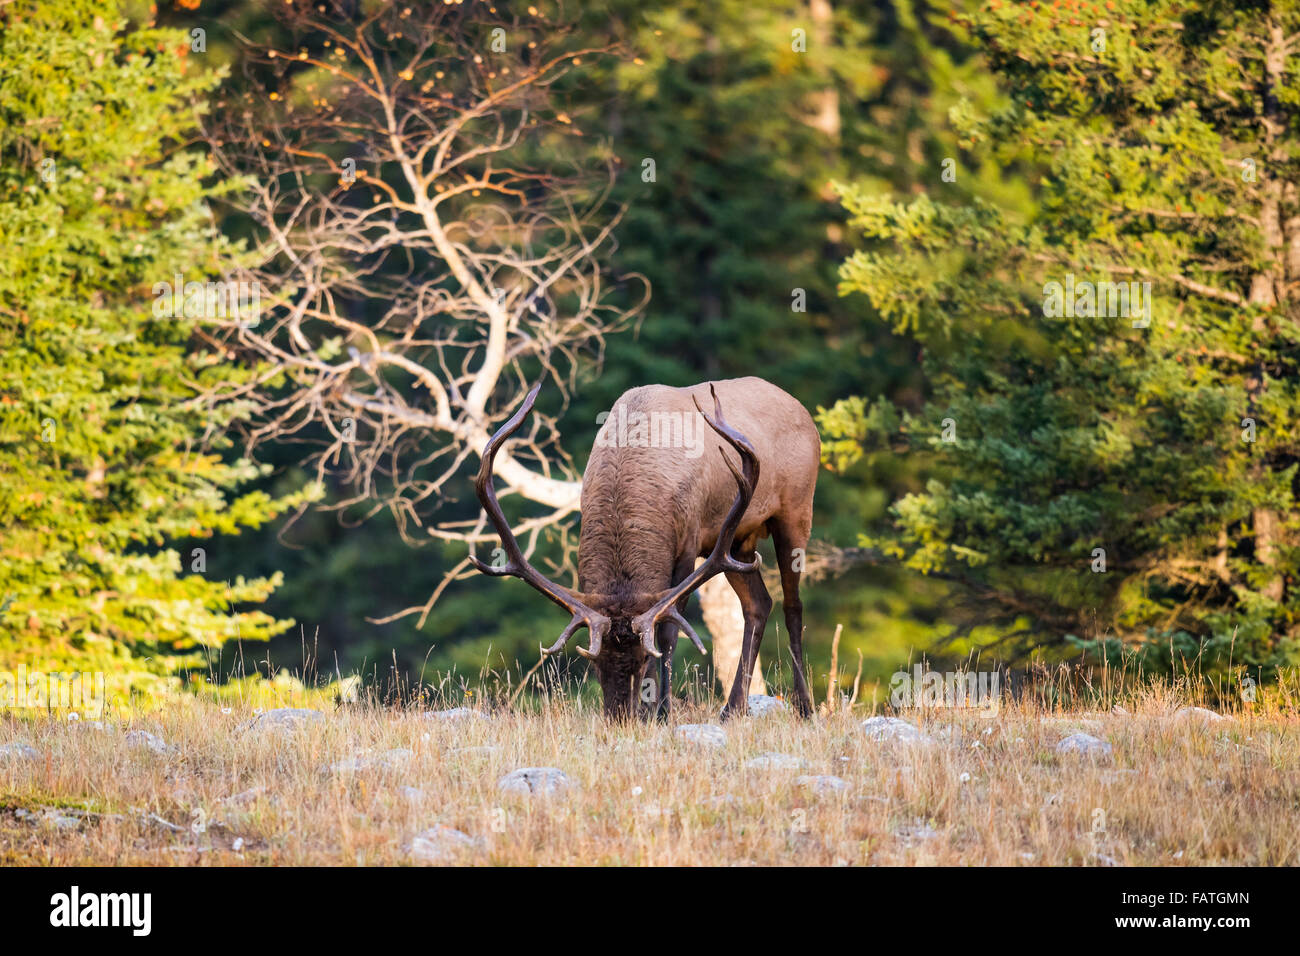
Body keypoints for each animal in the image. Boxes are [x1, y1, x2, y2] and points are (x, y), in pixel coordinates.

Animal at [472, 376, 820, 720]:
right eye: (594, 662)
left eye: (642, 659)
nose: (620, 716)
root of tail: (803, 412)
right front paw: (652, 712)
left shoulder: (688, 543)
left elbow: (668, 631)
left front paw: (663, 712)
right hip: (737, 541)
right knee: (758, 603)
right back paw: (733, 708)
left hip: (796, 510)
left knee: (793, 605)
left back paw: (804, 706)